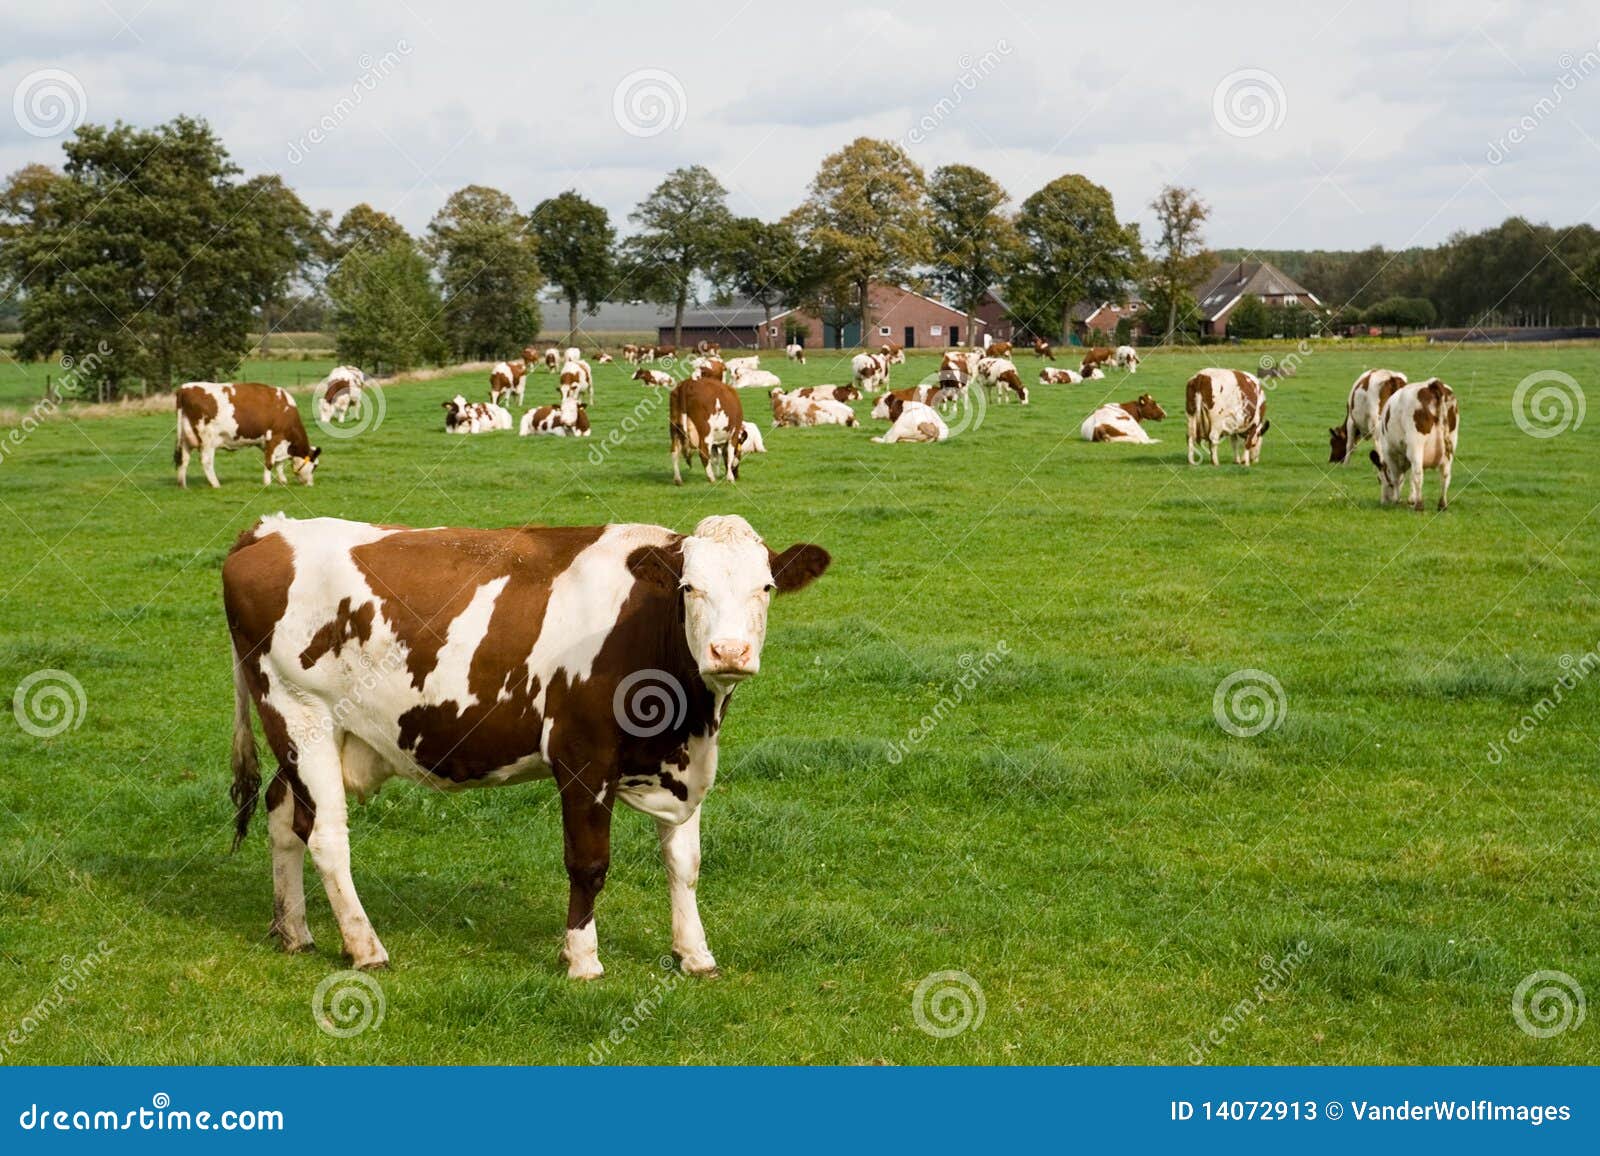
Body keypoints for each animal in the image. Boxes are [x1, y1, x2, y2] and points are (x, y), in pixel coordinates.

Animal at [175, 382, 320, 489]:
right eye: (314, 466)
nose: (311, 484)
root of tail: (185, 388)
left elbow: (279, 464)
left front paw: (283, 481)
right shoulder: (274, 438)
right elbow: (270, 463)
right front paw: (267, 483)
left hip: (185, 438)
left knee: (183, 459)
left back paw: (183, 486)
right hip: (208, 439)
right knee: (206, 461)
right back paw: (216, 484)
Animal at [221, 512, 830, 977]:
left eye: (766, 587)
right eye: (689, 588)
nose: (729, 652)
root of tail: (270, 530)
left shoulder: (684, 763)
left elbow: (685, 862)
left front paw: (695, 954)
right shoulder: (582, 755)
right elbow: (588, 862)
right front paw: (582, 959)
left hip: (319, 735)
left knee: (284, 814)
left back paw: (294, 930)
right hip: (300, 714)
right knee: (326, 836)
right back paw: (365, 947)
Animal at [1370, 378, 1458, 511]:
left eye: (1379, 479)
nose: (1384, 501)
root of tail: (1431, 384)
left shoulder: (1389, 453)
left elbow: (1397, 478)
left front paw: (1397, 500)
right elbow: (1408, 477)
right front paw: (1411, 499)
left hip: (1416, 443)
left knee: (1418, 473)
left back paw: (1419, 506)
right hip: (1451, 443)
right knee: (1445, 475)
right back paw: (1442, 505)